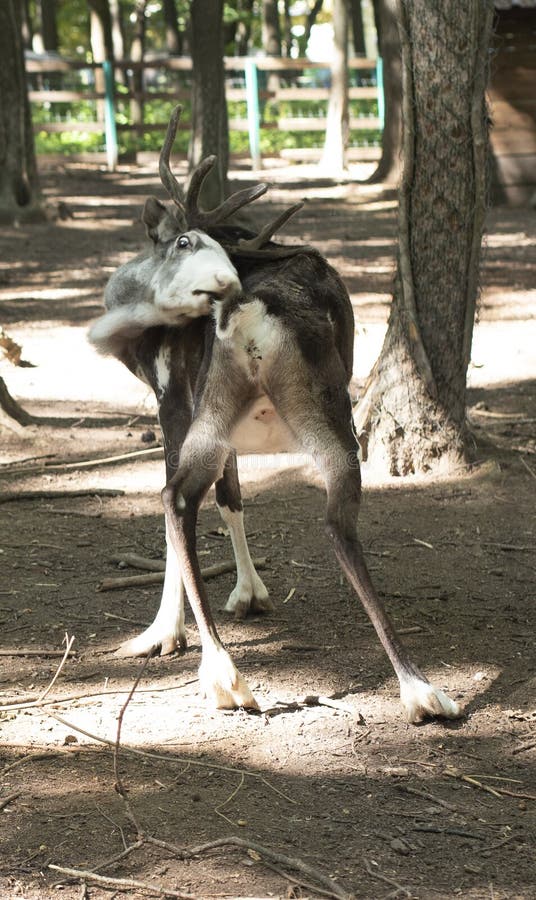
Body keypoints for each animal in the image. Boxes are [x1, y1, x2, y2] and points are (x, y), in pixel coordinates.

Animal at [89, 106, 463, 724]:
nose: (221, 282)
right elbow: (227, 497)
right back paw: (417, 690)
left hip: (229, 412)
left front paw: (168, 629)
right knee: (331, 522)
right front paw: (244, 596)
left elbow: (202, 505)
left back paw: (226, 676)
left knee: (178, 499)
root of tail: (249, 311)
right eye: (184, 241)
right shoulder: (214, 428)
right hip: (311, 417)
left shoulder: (174, 404)